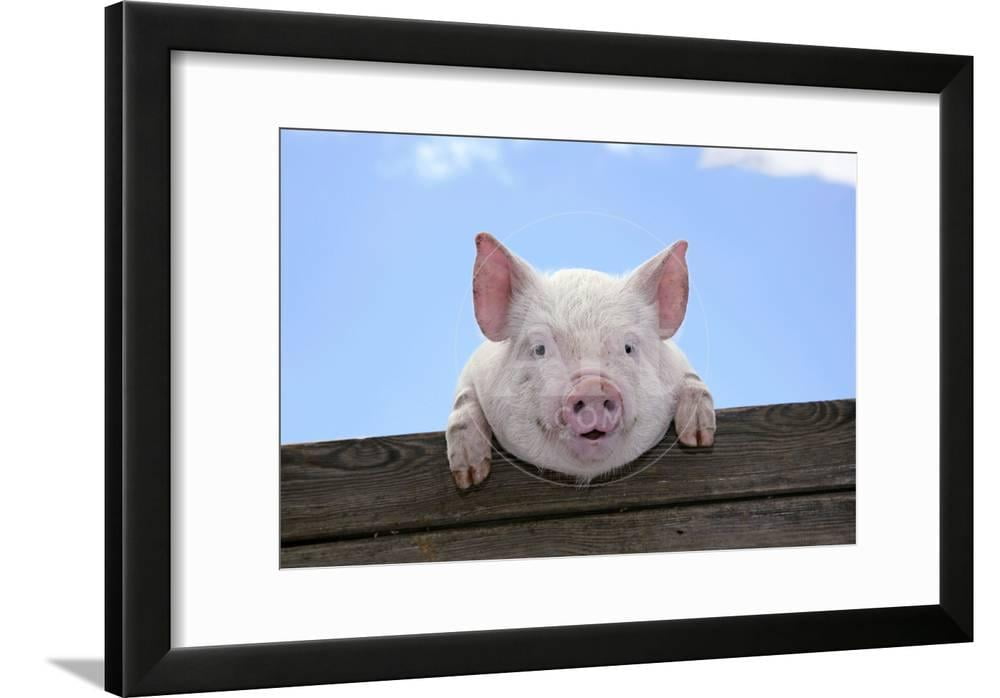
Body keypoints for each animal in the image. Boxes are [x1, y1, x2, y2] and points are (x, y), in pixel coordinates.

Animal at [446, 233, 716, 488]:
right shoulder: (472, 370)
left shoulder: (680, 362)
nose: (593, 387)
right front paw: (470, 477)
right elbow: (463, 401)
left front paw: (699, 438)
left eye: (628, 347)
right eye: (539, 349)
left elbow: (693, 379)